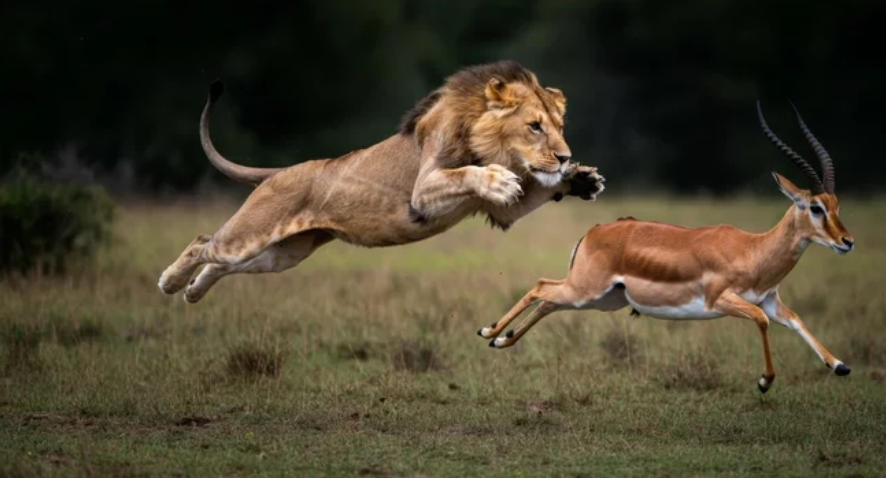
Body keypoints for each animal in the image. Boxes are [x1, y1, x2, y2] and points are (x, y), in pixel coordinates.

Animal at [478, 102, 855, 393]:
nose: (847, 242)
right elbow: (761, 321)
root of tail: (595, 231)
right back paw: (489, 331)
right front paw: (764, 381)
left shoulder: (769, 300)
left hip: (603, 299)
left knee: (548, 301)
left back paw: (502, 339)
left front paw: (839, 365)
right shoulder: (723, 300)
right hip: (586, 291)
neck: (753, 250)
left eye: (837, 205)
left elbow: (795, 319)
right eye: (815, 207)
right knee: (540, 287)